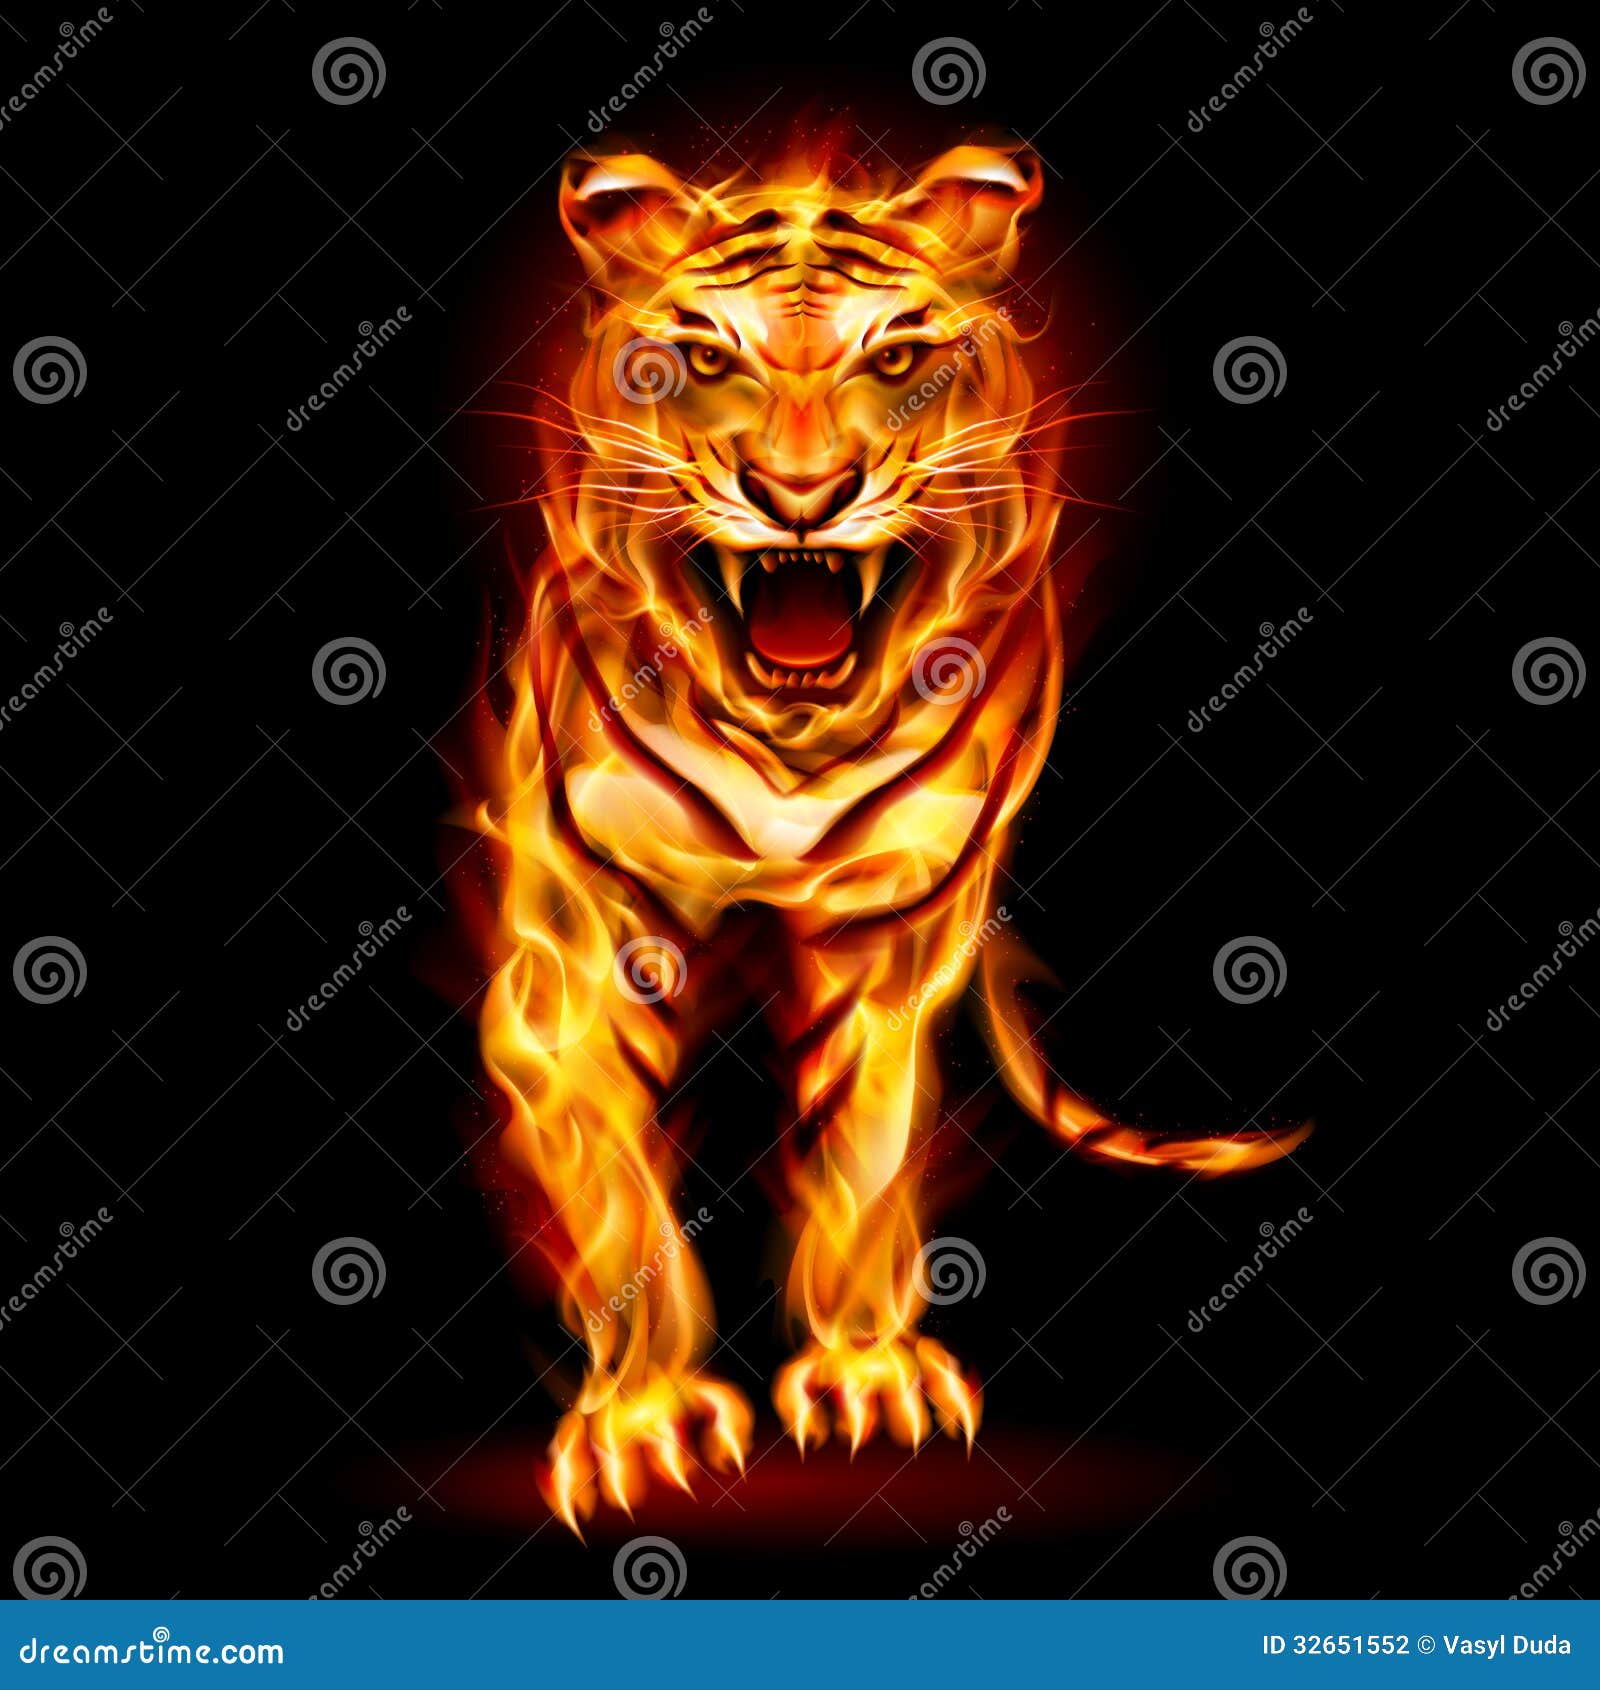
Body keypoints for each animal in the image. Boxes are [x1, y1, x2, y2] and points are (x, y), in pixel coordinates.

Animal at [468, 138, 1308, 1532]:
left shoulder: (890, 937)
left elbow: (862, 1155)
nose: (802, 497)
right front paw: (646, 1420)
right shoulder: (575, 958)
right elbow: (619, 1207)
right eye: (705, 358)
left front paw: (866, 1372)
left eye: (899, 355)